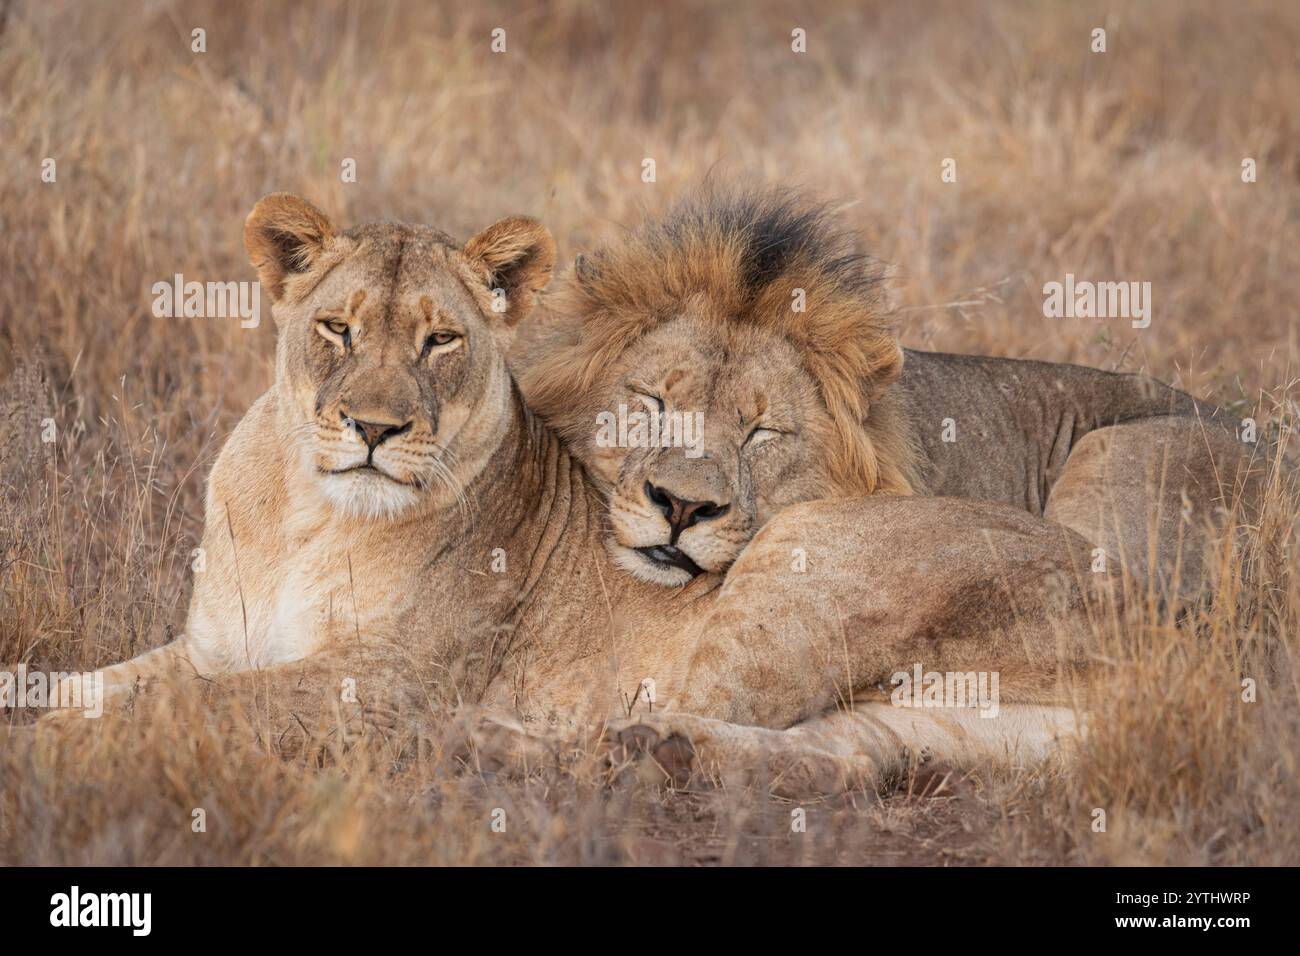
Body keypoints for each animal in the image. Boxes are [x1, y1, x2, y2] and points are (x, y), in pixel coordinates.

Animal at [23, 194, 1120, 796]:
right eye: (336, 328)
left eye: (441, 339)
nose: (375, 428)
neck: (307, 513)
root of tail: (1140, 598)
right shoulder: (211, 640)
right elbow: (107, 678)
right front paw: (41, 702)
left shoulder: (385, 675)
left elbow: (202, 704)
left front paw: (58, 742)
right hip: (939, 722)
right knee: (837, 757)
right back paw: (638, 752)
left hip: (794, 579)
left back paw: (507, 741)